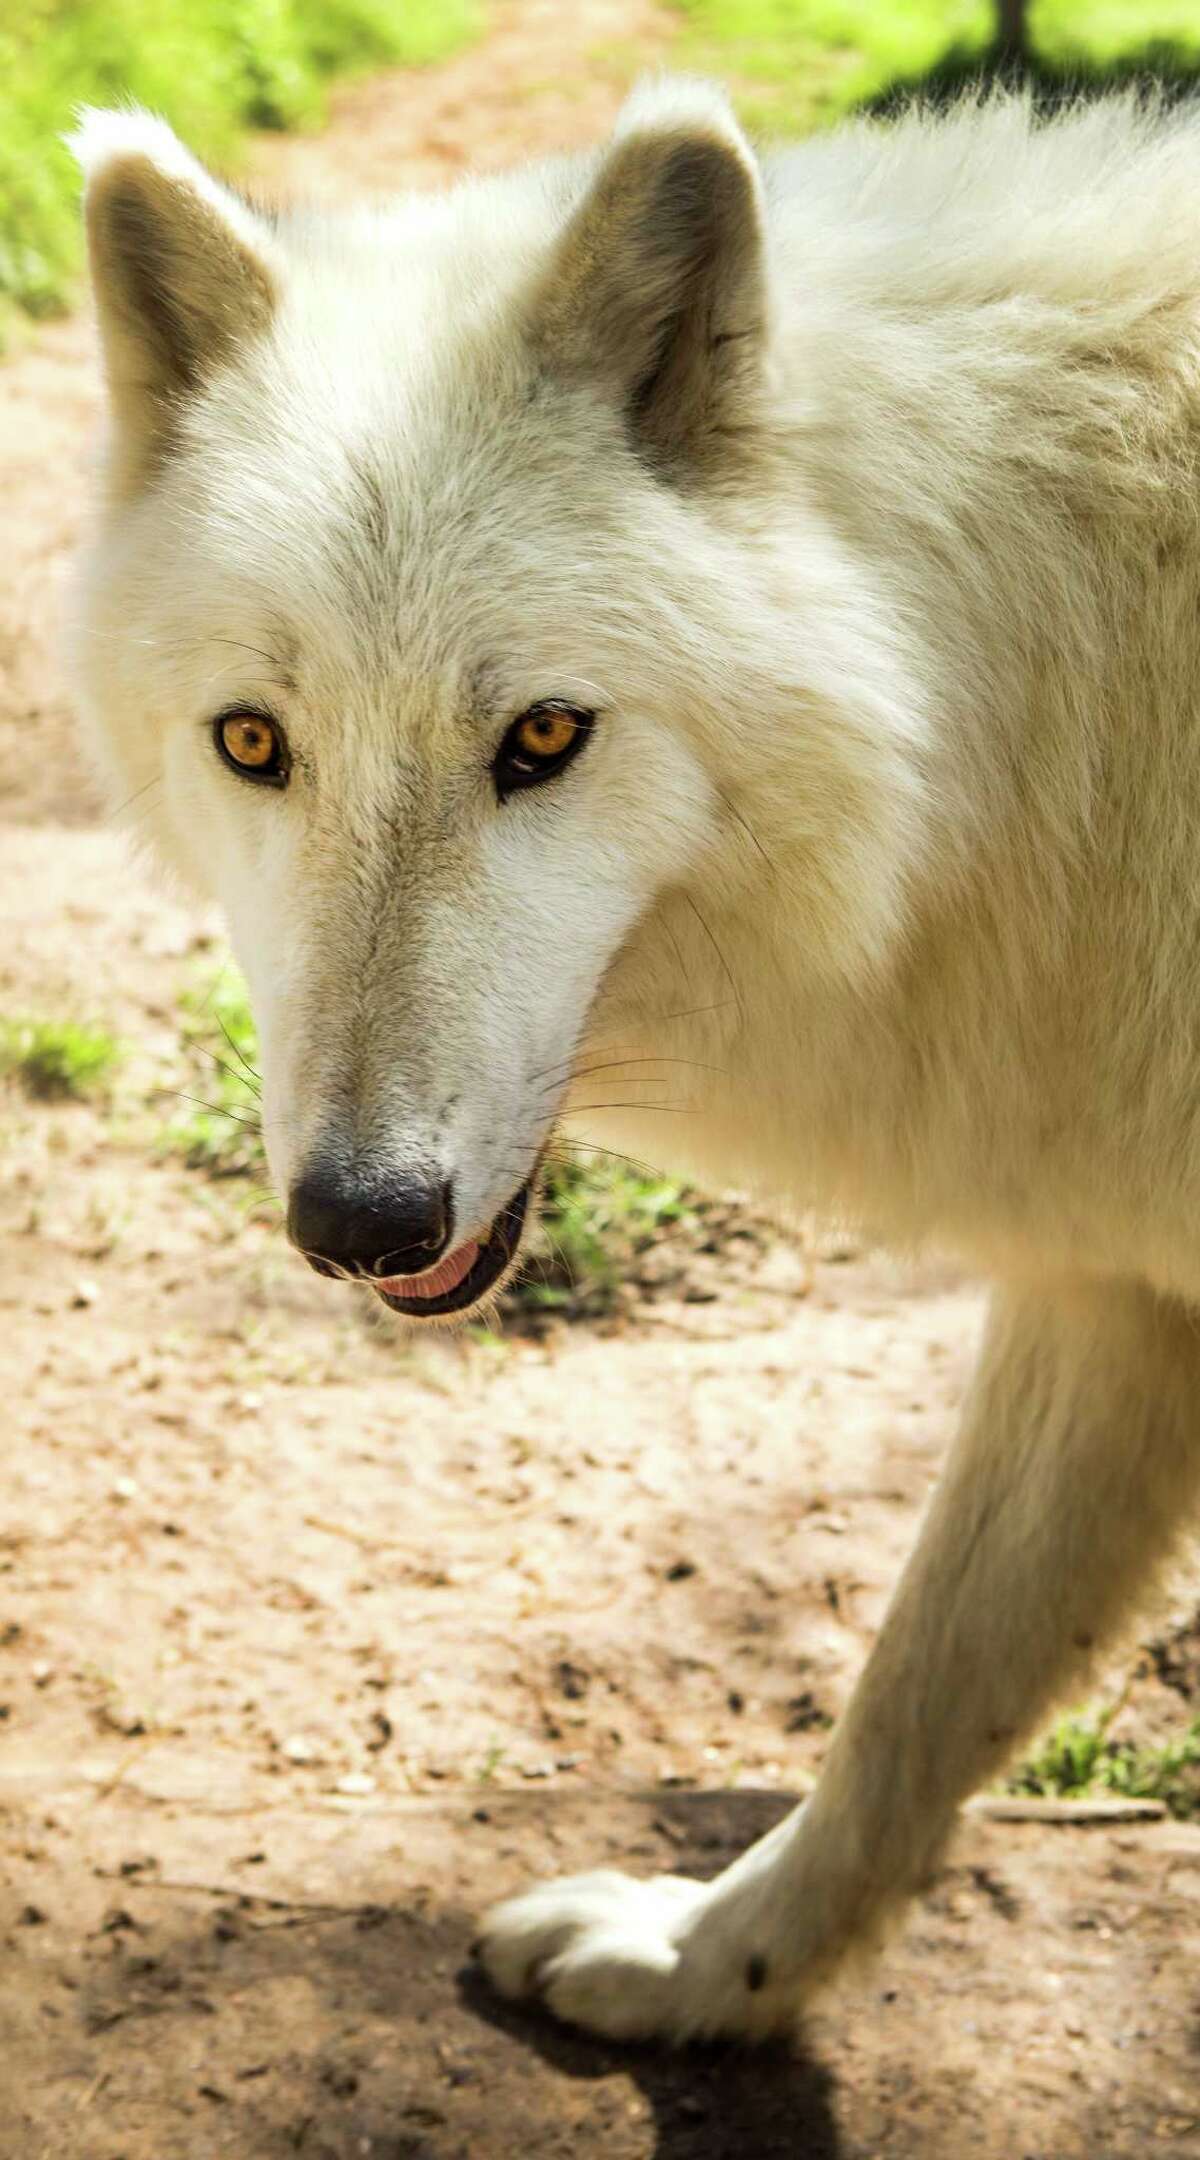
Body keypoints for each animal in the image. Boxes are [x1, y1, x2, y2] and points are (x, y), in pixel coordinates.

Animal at [71, 76, 1200, 2042]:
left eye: (542, 735)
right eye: (253, 742)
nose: (361, 1220)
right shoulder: (1115, 1284)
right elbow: (917, 1685)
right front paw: (707, 1972)